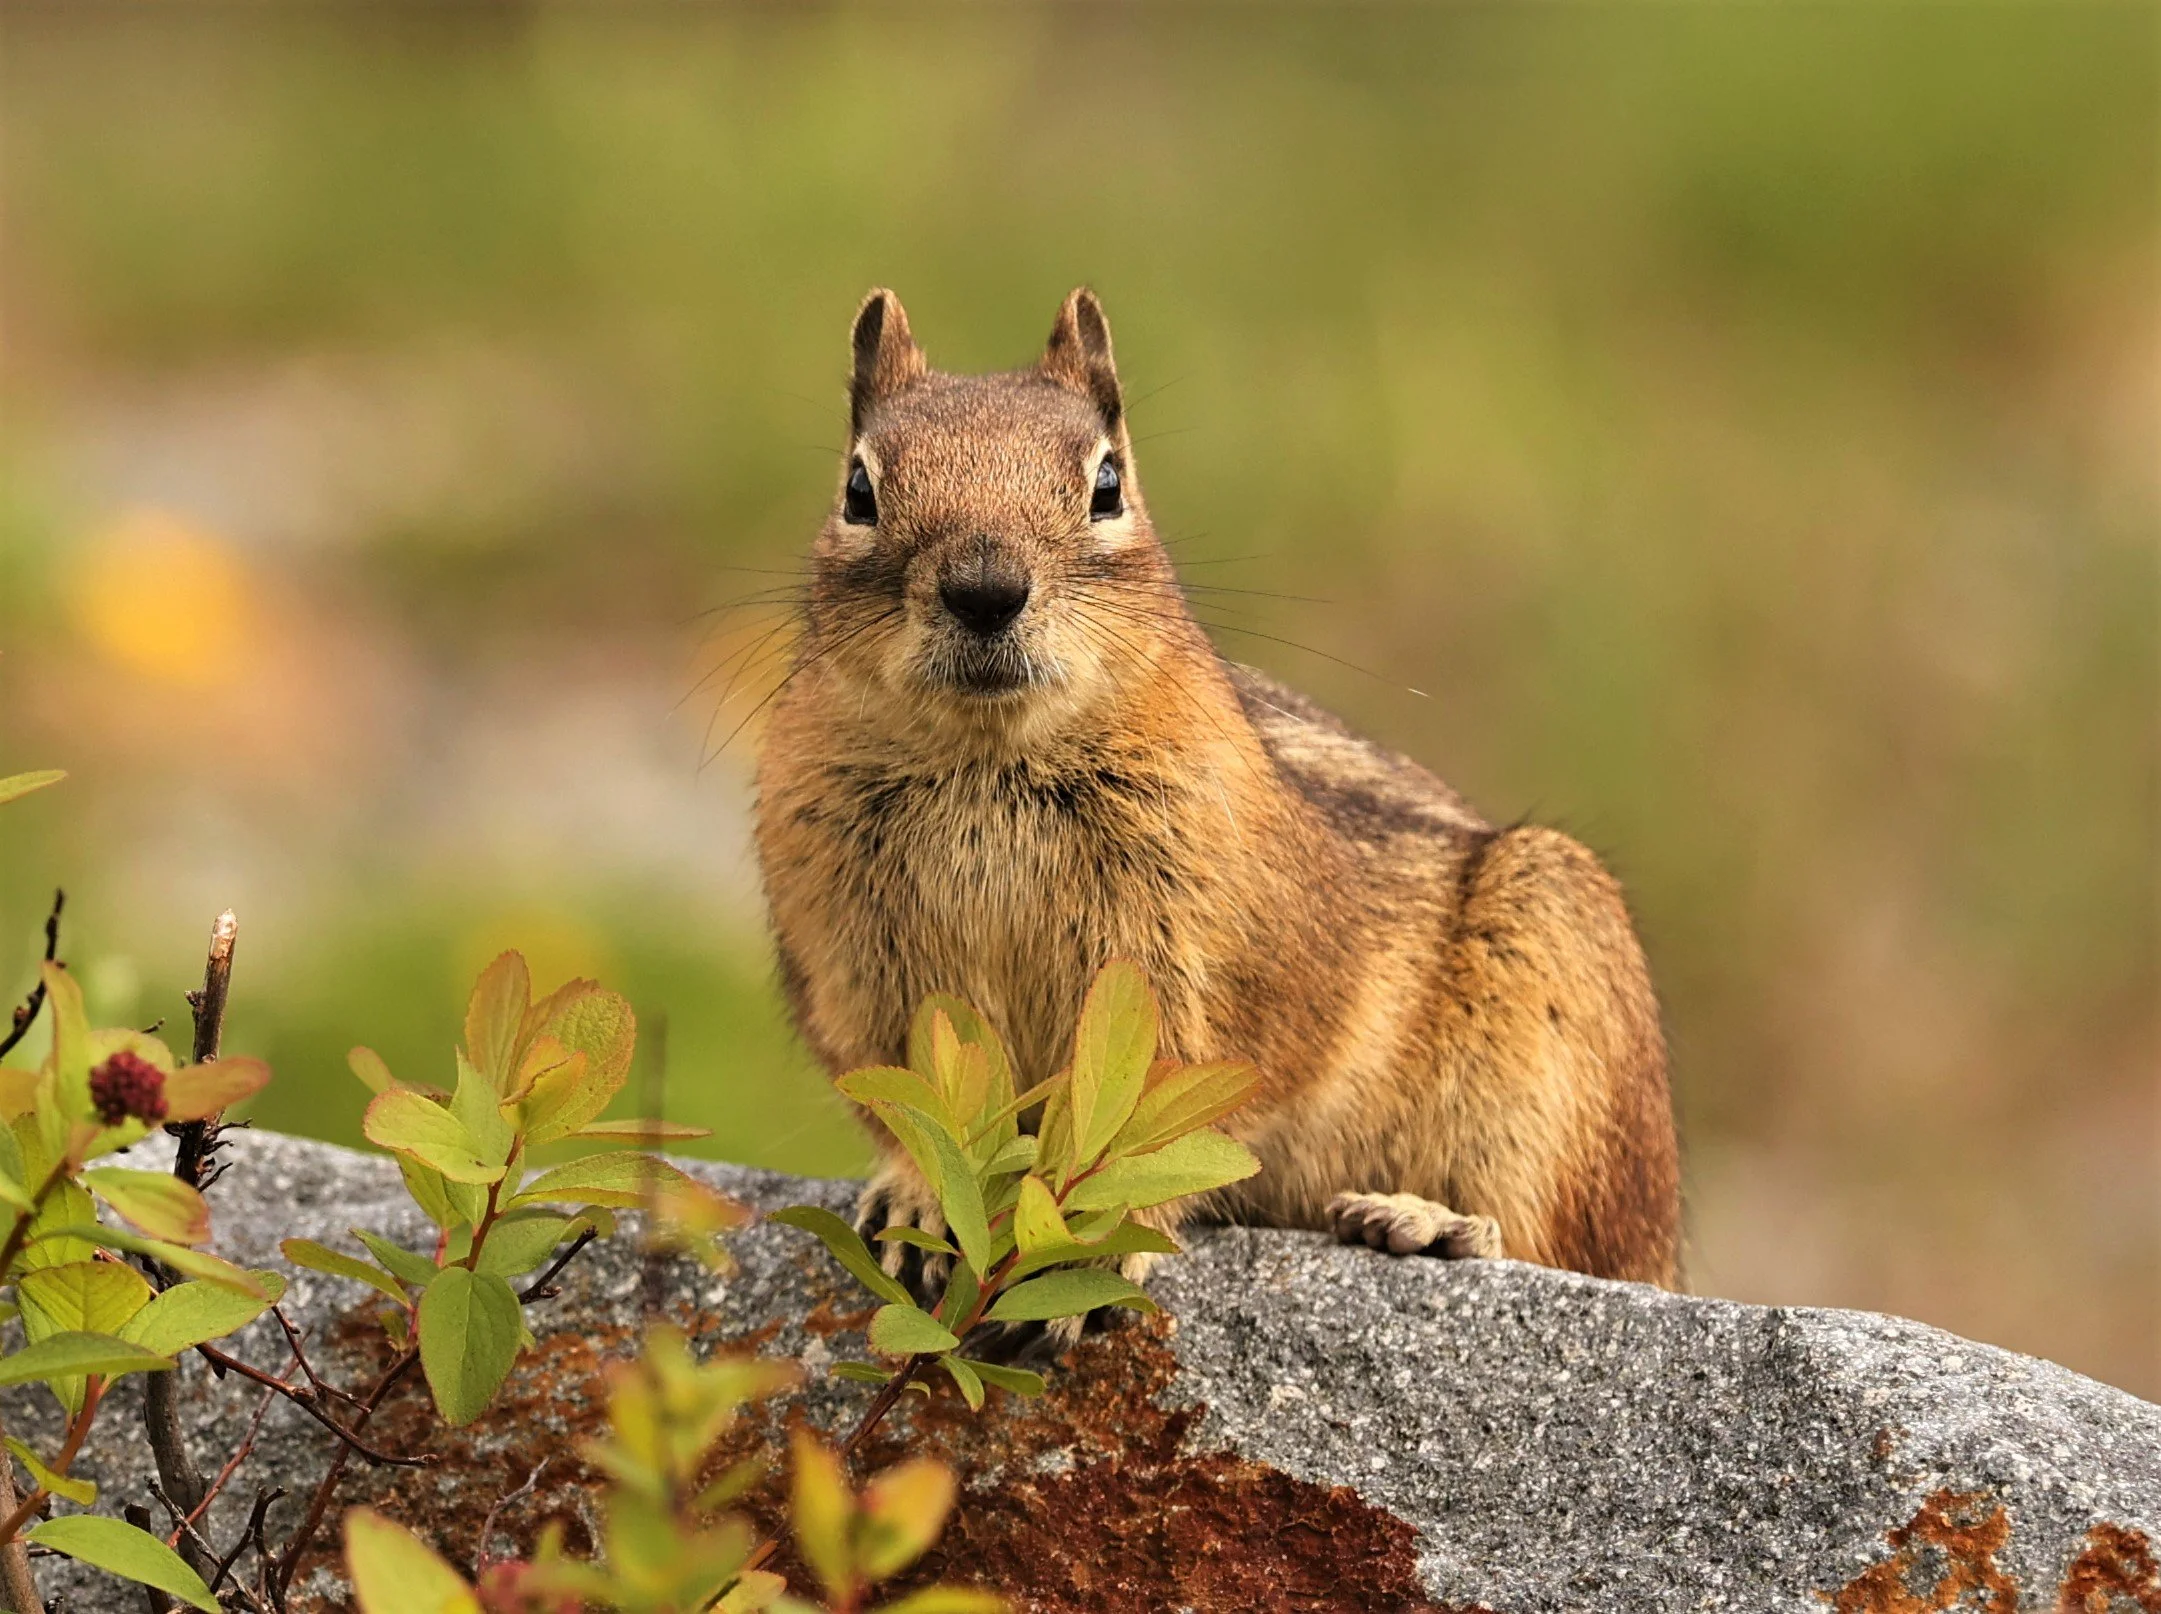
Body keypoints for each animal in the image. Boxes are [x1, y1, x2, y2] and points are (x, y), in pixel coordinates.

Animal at [754, 287, 1680, 1293]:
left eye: (1107, 485)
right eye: (858, 490)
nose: (985, 588)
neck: (985, 760)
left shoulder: (1212, 960)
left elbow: (1172, 1114)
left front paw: (1105, 1227)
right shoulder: (853, 969)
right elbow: (905, 1101)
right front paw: (916, 1197)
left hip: (1556, 1004)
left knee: (1567, 1246)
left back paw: (1428, 1222)